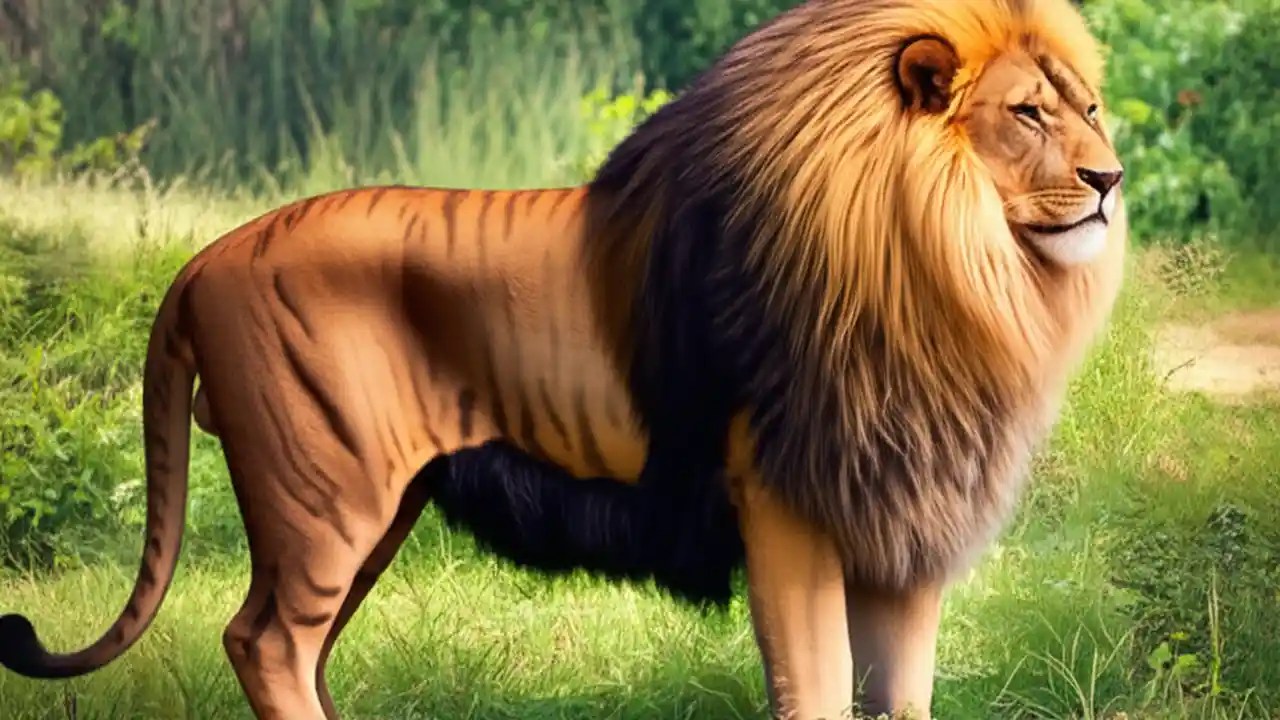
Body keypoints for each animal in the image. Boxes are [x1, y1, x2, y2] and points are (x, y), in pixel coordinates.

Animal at [0, 1, 1127, 718]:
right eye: (1026, 113)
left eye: (1088, 108)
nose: (1110, 179)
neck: (949, 273)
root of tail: (203, 261)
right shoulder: (786, 508)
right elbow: (813, 687)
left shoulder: (905, 518)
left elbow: (899, 695)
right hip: (323, 493)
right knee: (267, 642)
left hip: (367, 510)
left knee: (289, 645)